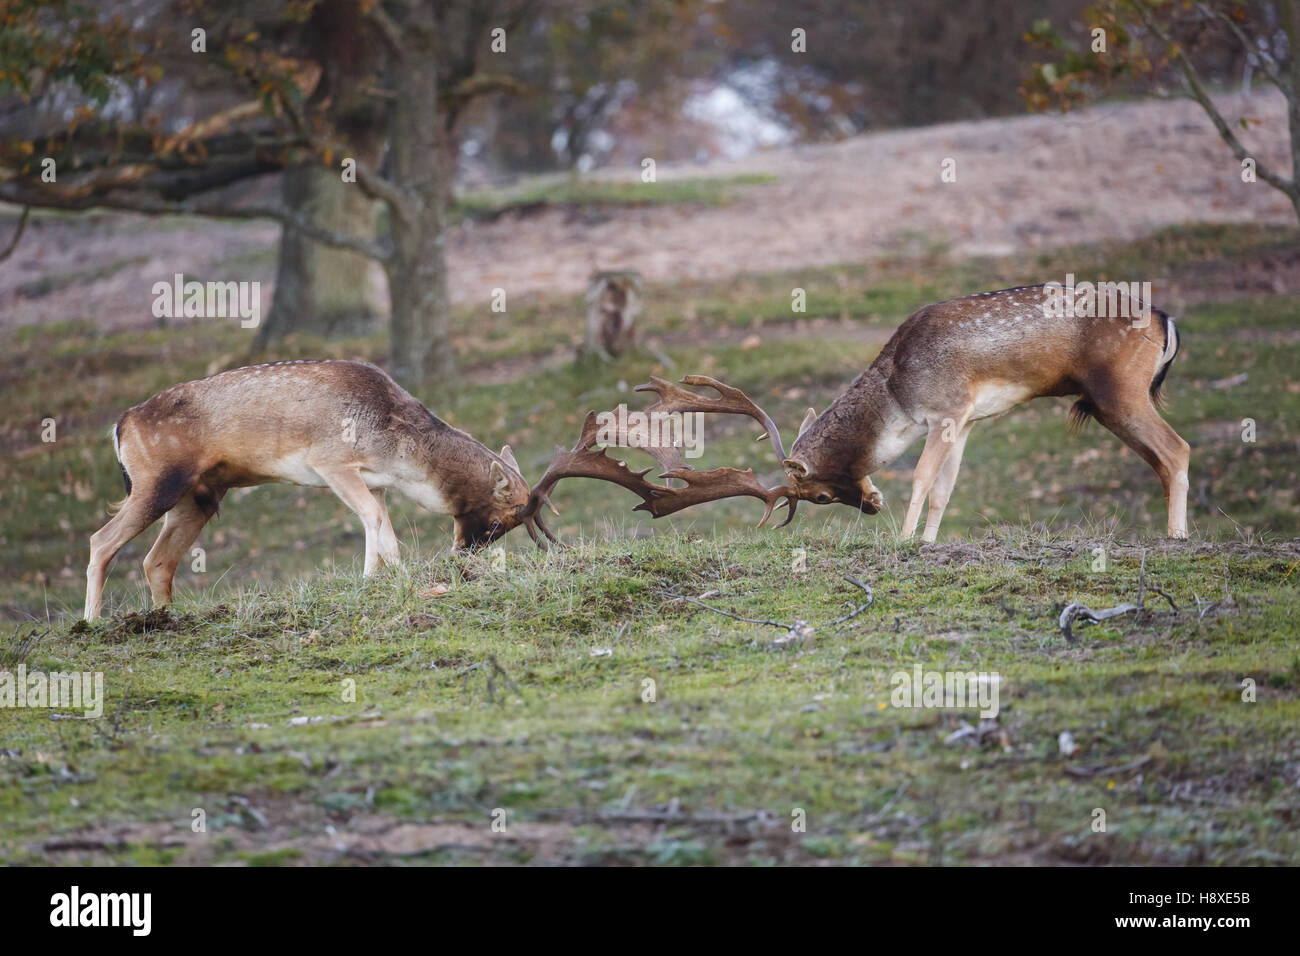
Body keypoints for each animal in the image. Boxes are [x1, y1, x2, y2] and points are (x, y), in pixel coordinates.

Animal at [84, 359, 553, 621]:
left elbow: (384, 527)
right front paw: (380, 581)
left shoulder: (373, 480)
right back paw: (92, 621)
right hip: (154, 483)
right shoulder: (329, 460)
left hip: (198, 498)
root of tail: (121, 425)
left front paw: (395, 579)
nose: (463, 555)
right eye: (498, 520)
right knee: (101, 540)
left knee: (156, 561)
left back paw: (164, 616)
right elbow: (374, 520)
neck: (399, 452)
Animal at [525, 284, 1188, 543]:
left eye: (817, 495)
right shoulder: (966, 420)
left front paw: (902, 540)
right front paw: (926, 541)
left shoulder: (945, 408)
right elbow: (944, 489)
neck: (897, 394)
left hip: (1118, 391)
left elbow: (919, 478)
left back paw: (1178, 537)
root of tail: (1166, 321)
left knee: (1177, 450)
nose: (870, 506)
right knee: (1168, 454)